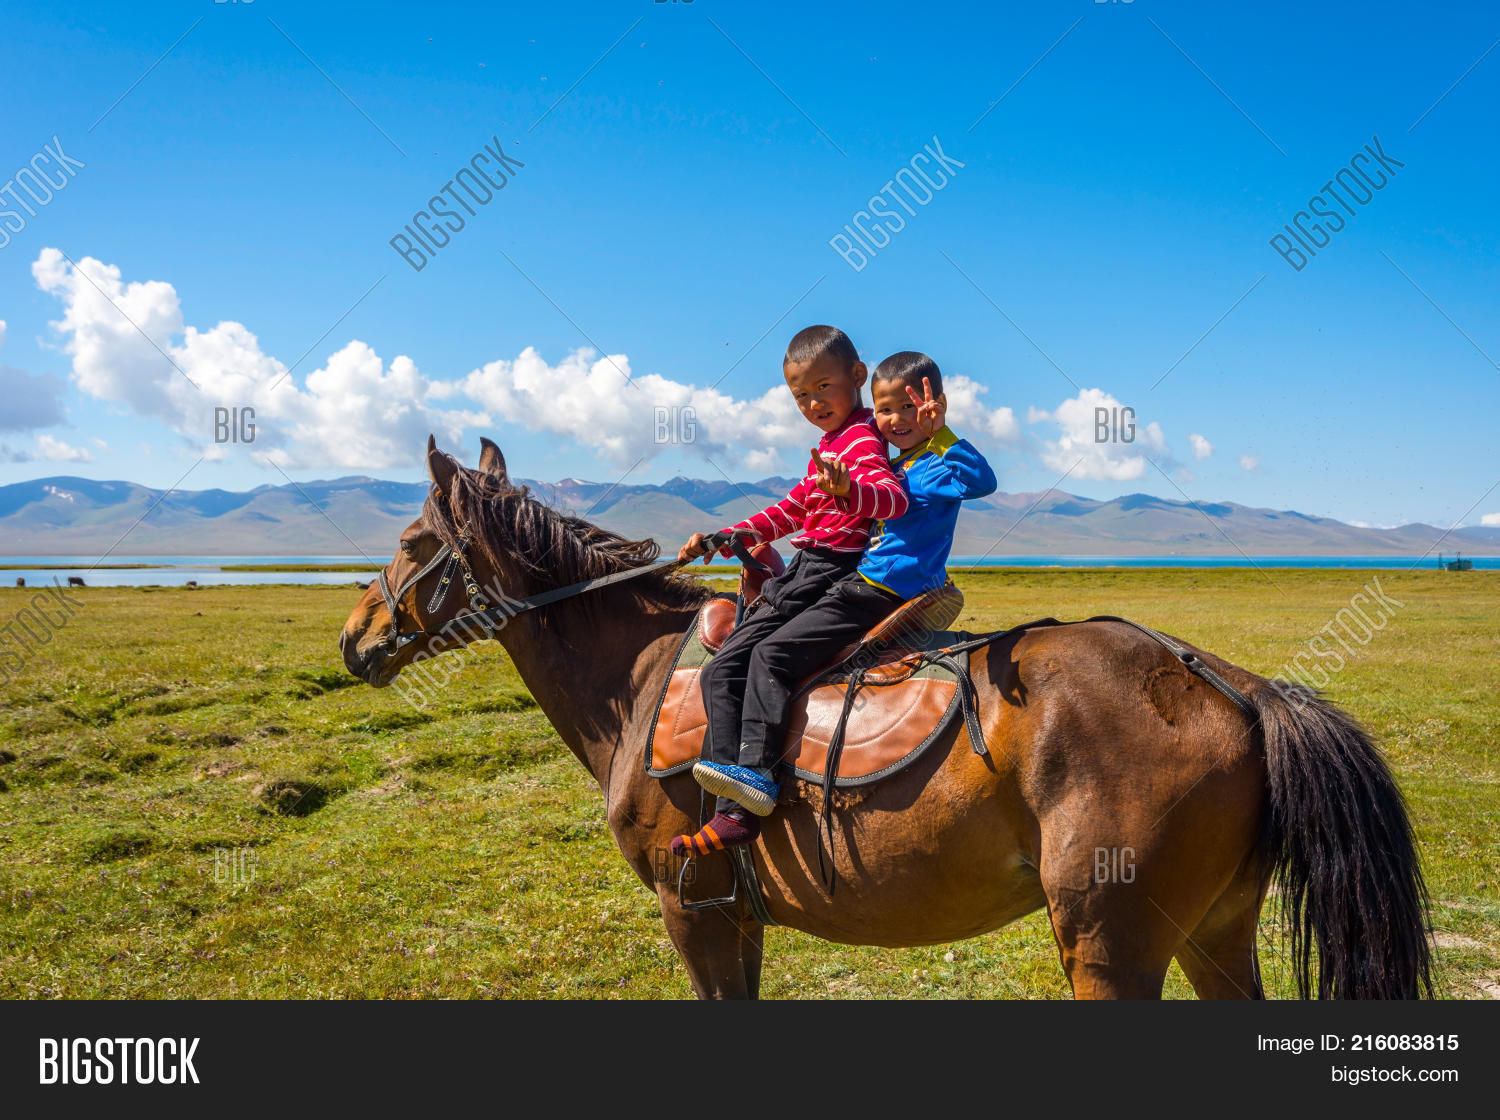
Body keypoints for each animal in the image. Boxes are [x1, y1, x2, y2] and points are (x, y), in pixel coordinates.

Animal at [339, 437, 1432, 999]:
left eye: (414, 540)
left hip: (1109, 947)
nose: (354, 637)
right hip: (1215, 932)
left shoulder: (693, 907)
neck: (638, 675)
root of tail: (1229, 682)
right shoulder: (738, 916)